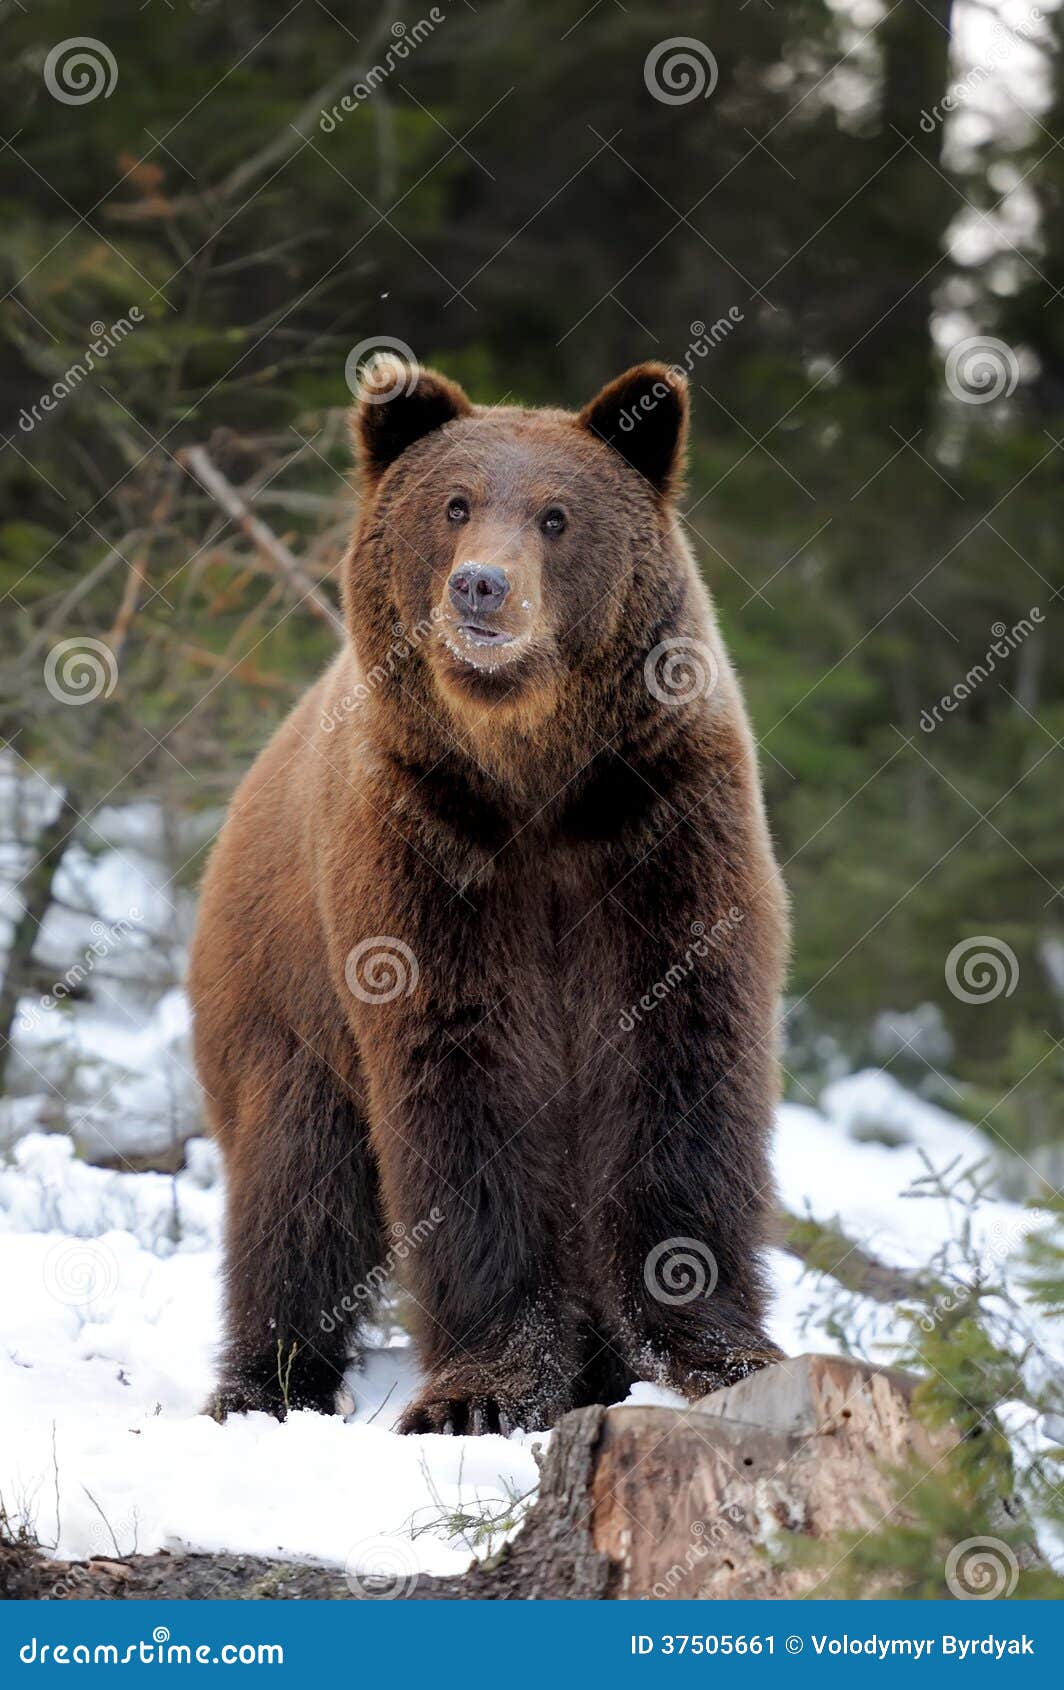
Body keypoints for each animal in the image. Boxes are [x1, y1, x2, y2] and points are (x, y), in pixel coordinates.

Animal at [188, 355, 789, 1434]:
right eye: (454, 503)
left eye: (555, 515)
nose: (481, 584)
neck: (533, 781)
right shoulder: (424, 856)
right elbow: (465, 1084)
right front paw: (482, 1392)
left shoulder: (660, 829)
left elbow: (679, 1064)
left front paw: (714, 1350)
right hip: (282, 1006)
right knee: (297, 1191)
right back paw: (265, 1382)